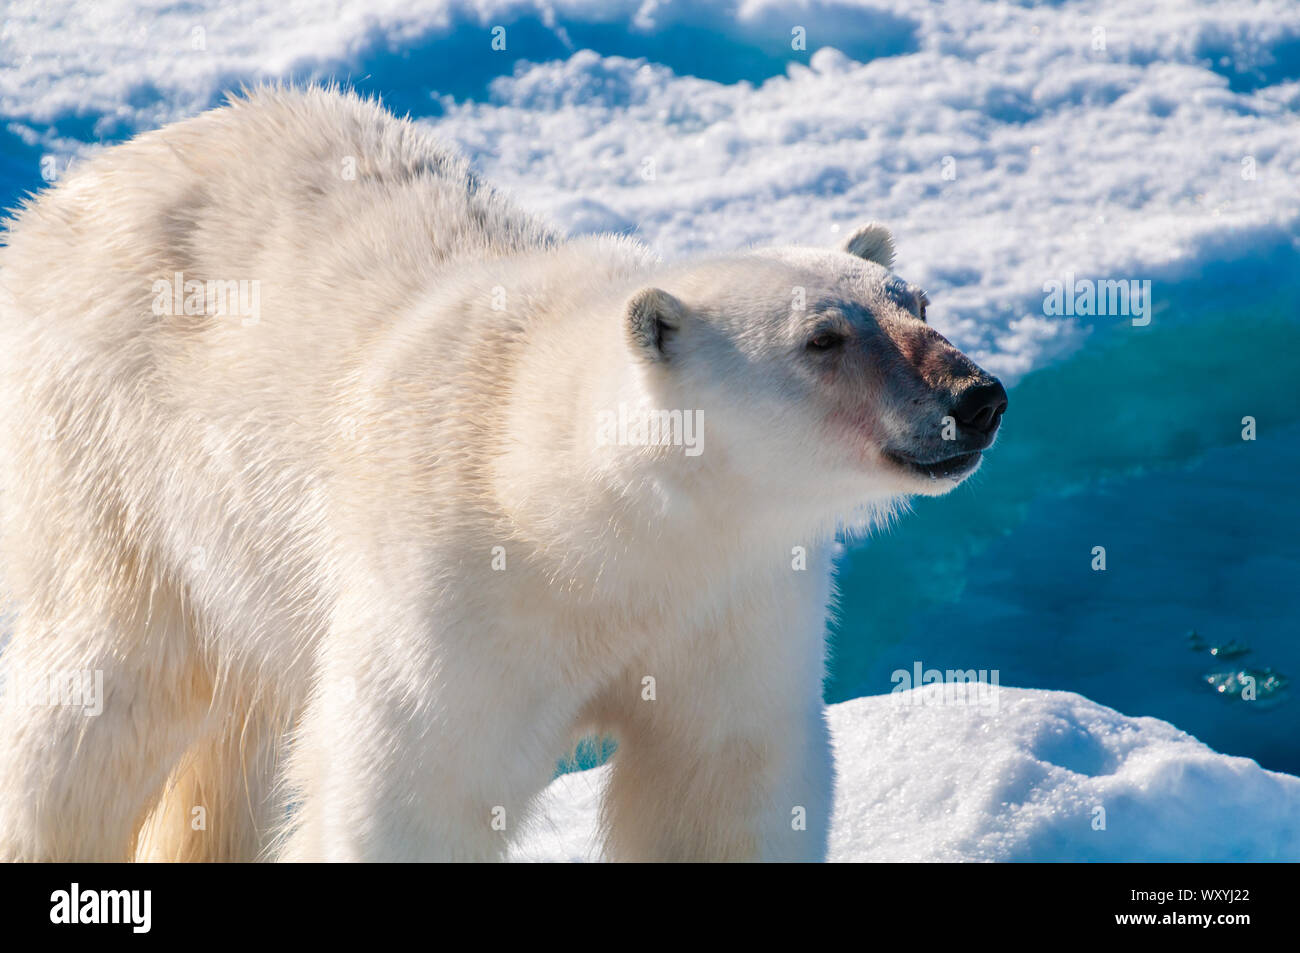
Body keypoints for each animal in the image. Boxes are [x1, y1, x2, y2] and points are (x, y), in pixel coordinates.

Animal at [0, 86, 1006, 862]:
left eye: (917, 301)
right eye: (823, 338)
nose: (978, 395)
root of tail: (57, 201)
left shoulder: (736, 603)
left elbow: (718, 782)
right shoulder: (461, 594)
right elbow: (418, 783)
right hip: (115, 468)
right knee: (101, 707)